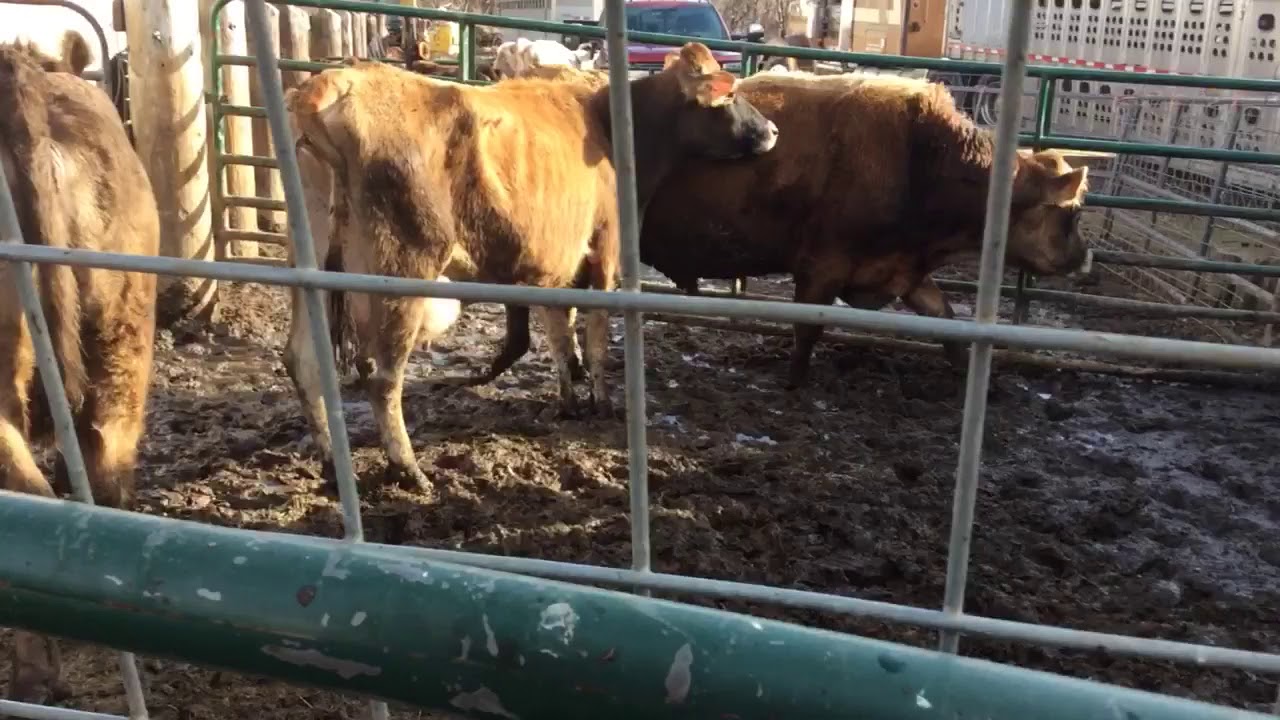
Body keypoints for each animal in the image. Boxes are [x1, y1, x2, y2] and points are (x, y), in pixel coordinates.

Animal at [282, 42, 778, 491]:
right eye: (732, 94)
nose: (772, 130)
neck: (608, 126)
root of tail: (333, 85)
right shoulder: (606, 252)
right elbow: (596, 334)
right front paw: (600, 400)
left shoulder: (554, 267)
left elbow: (560, 331)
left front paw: (569, 394)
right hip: (402, 268)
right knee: (381, 375)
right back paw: (408, 470)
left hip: (310, 265)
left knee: (302, 360)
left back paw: (332, 464)